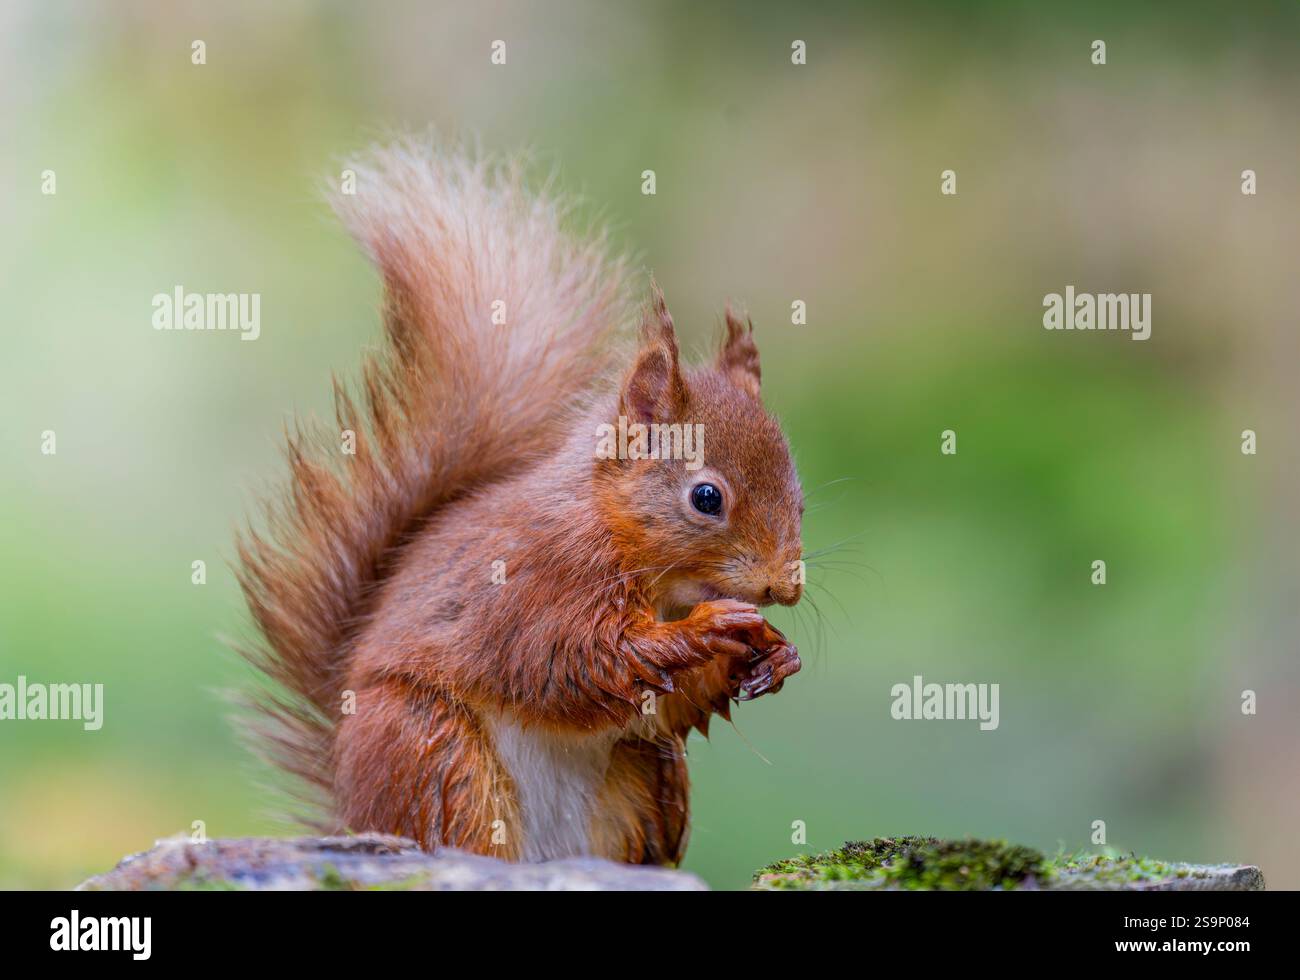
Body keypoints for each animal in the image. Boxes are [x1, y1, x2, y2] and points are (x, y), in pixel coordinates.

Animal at [236, 139, 804, 865]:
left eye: (801, 498)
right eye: (707, 497)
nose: (784, 586)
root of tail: (350, 809)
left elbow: (668, 706)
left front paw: (773, 654)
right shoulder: (536, 582)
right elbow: (568, 663)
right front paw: (705, 631)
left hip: (647, 781)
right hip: (431, 750)